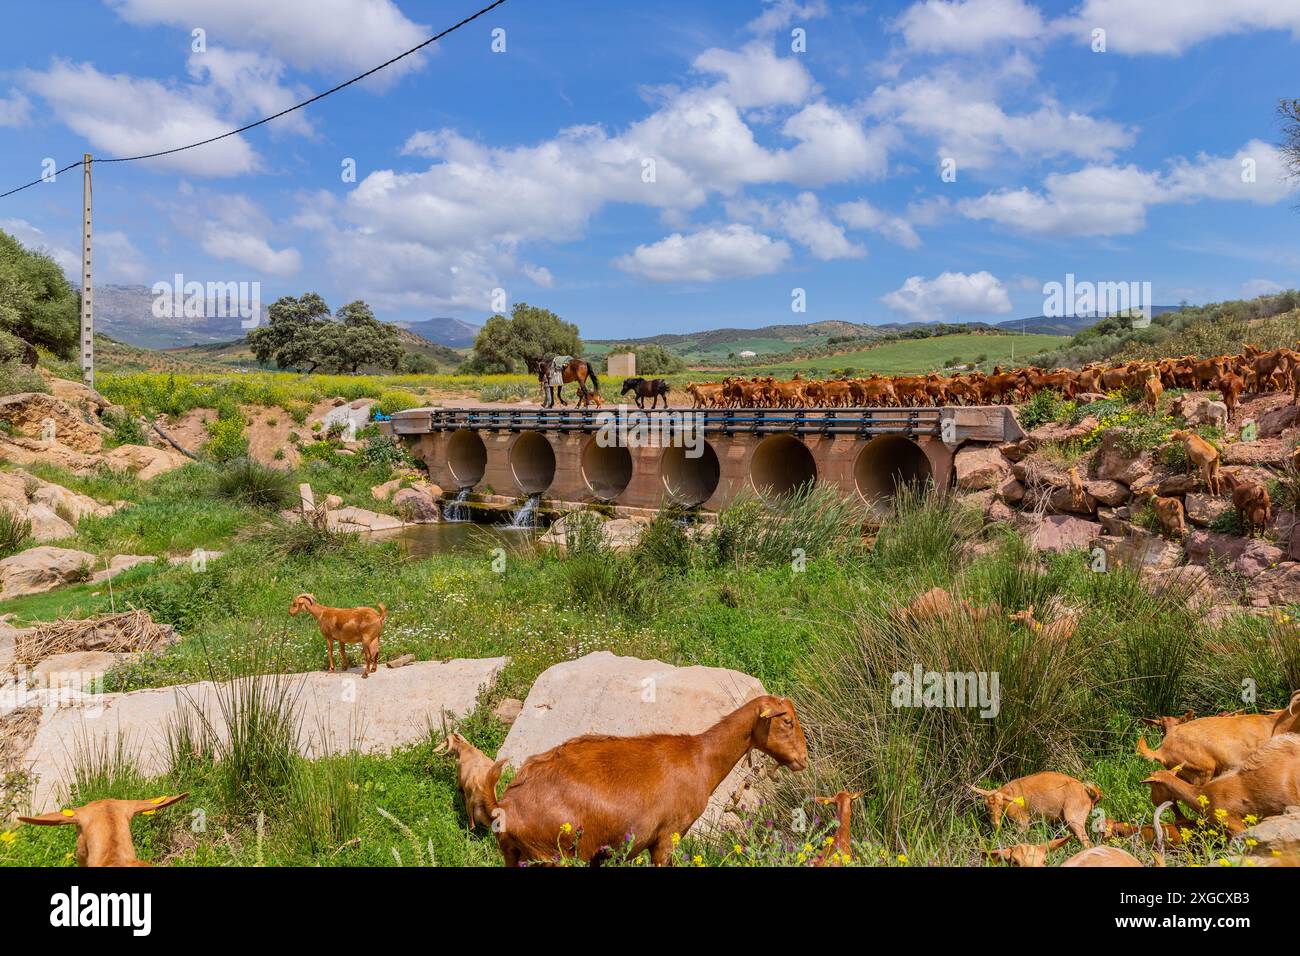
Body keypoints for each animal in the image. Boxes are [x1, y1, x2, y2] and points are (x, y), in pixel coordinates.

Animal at [489, 695, 808, 866]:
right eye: (787, 721)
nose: (803, 759)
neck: (700, 758)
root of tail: (506, 805)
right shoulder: (668, 835)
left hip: (515, 854)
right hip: (553, 855)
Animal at [970, 772, 1102, 847]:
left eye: (999, 804)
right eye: (986, 805)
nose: (995, 823)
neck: (1010, 797)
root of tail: (1088, 795)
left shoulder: (1023, 823)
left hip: (1075, 820)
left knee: (1088, 844)